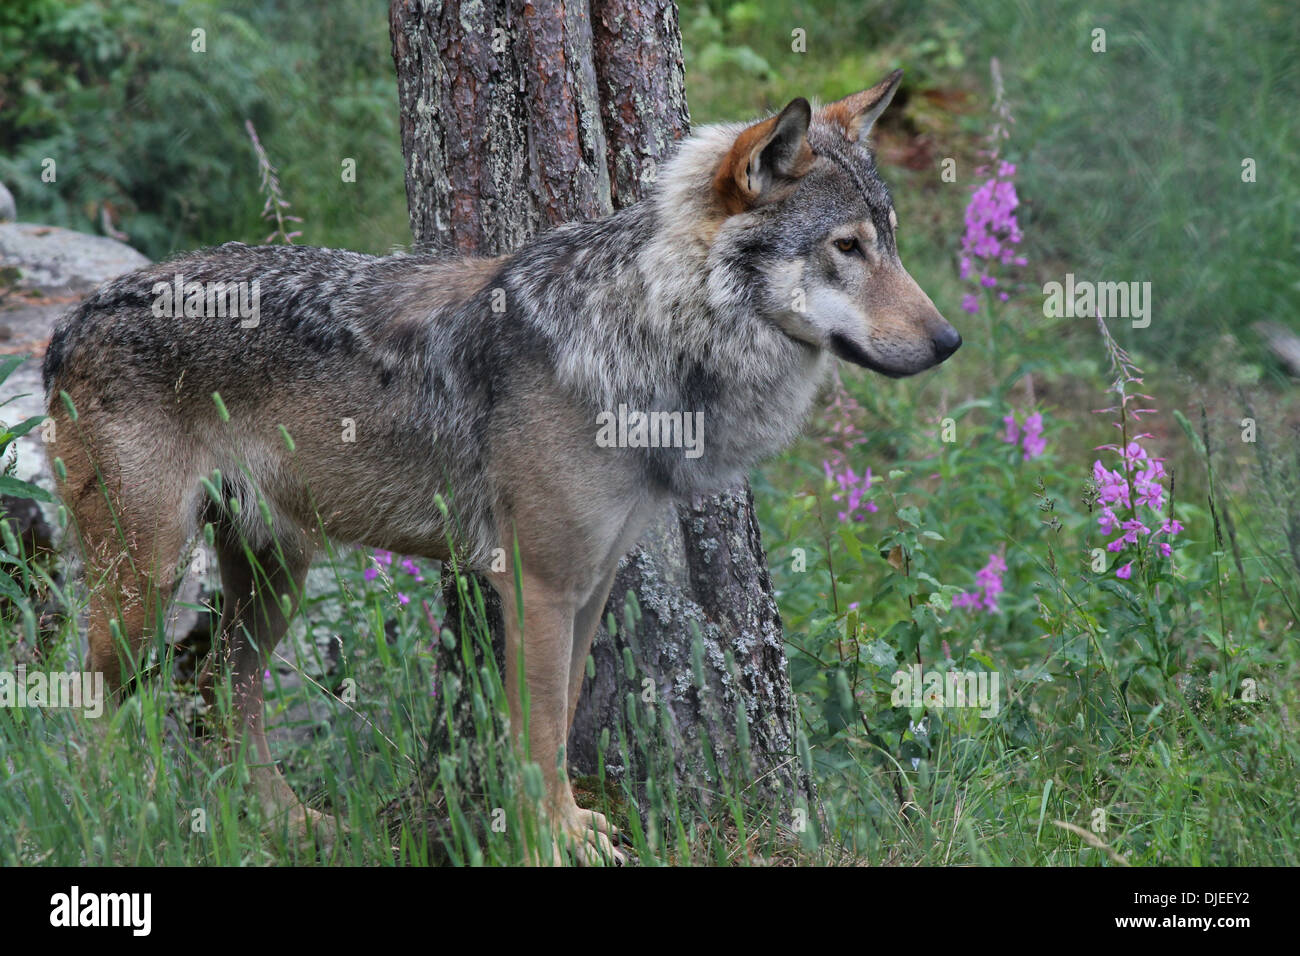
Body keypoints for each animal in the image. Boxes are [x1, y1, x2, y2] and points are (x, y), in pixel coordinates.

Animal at [42, 69, 958, 864]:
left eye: (891, 243)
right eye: (847, 247)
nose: (949, 340)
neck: (645, 337)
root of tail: (70, 320)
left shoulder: (590, 585)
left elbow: (559, 723)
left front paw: (571, 827)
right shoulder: (537, 583)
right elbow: (541, 732)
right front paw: (552, 843)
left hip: (275, 576)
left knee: (221, 700)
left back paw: (290, 825)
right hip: (150, 580)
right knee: (91, 710)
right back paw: (110, 821)